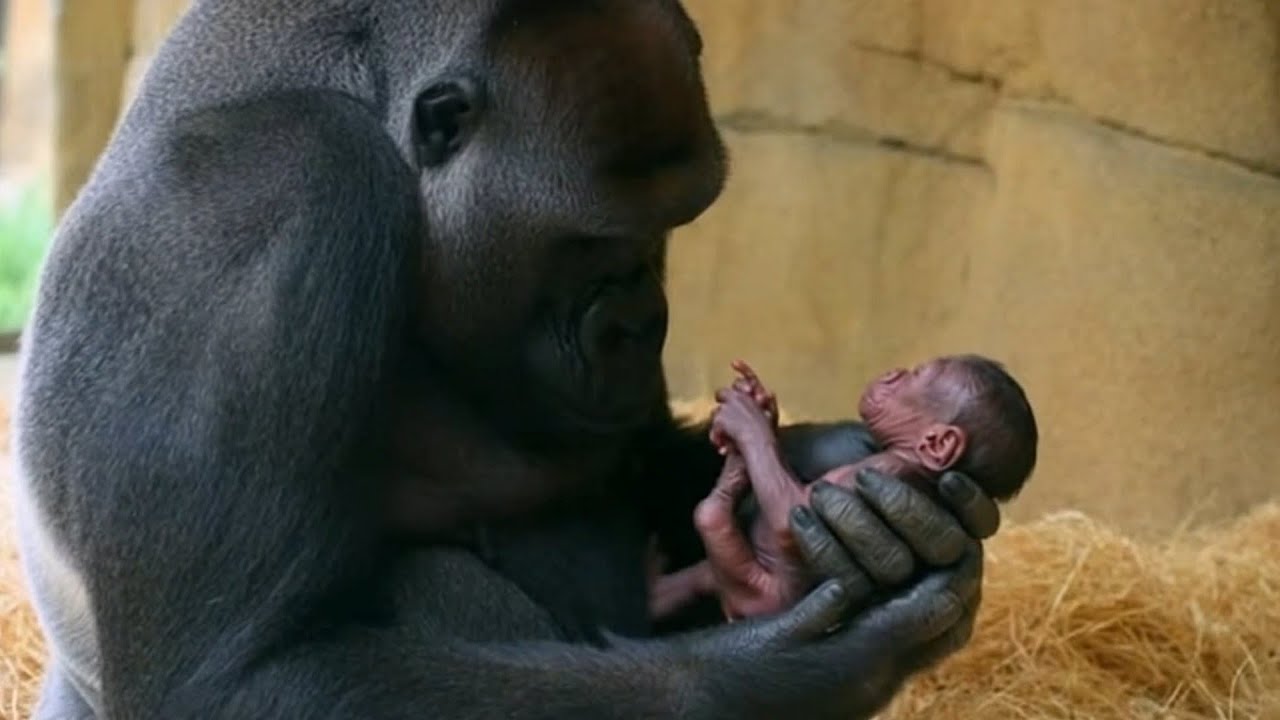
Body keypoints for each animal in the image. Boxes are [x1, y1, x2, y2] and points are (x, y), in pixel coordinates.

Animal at [11, 1, 1004, 718]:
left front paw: (849, 468)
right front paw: (779, 673)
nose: (641, 326)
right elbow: (231, 678)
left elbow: (651, 463)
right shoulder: (275, 190)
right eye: (596, 243)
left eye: (672, 227)